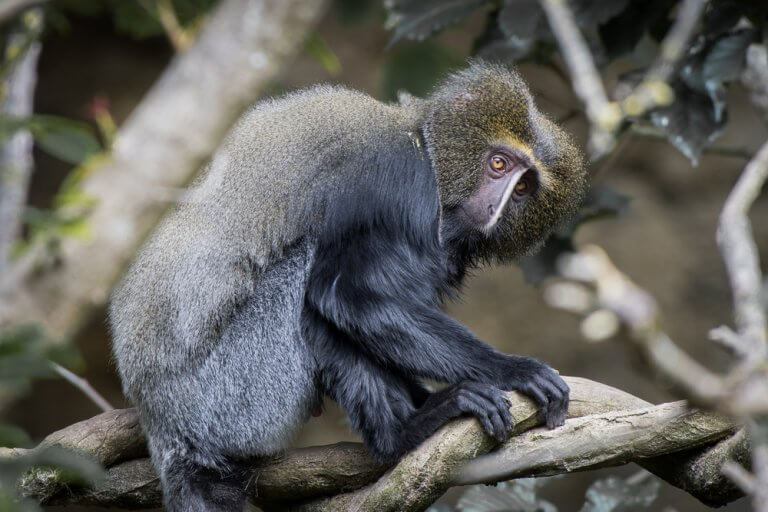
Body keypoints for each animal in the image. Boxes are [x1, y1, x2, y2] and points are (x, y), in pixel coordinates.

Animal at [109, 61, 586, 511]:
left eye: (524, 188)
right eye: (498, 164)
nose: (493, 207)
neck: (424, 145)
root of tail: (165, 426)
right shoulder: (394, 183)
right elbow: (348, 295)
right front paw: (512, 369)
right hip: (234, 396)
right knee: (308, 290)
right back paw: (400, 435)